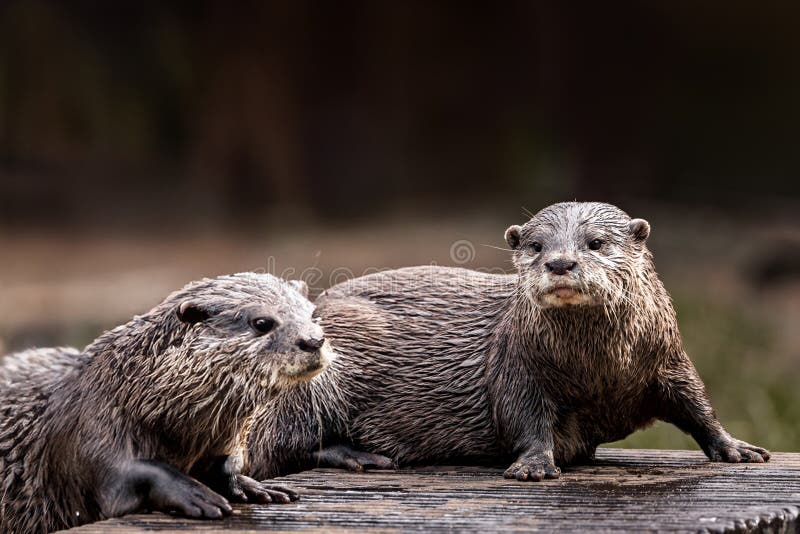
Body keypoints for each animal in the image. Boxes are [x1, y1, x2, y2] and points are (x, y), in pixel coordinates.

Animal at [0, 273, 331, 533]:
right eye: (262, 322)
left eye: (314, 315)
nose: (313, 340)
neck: (135, 393)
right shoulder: (89, 429)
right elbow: (124, 474)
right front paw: (194, 493)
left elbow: (225, 466)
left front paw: (254, 485)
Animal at [248, 202, 769, 481]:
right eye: (536, 246)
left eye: (596, 243)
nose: (560, 262)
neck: (599, 369)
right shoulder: (517, 364)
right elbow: (523, 415)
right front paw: (535, 464)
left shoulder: (667, 360)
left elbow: (696, 403)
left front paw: (736, 448)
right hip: (315, 381)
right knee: (273, 444)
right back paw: (361, 456)